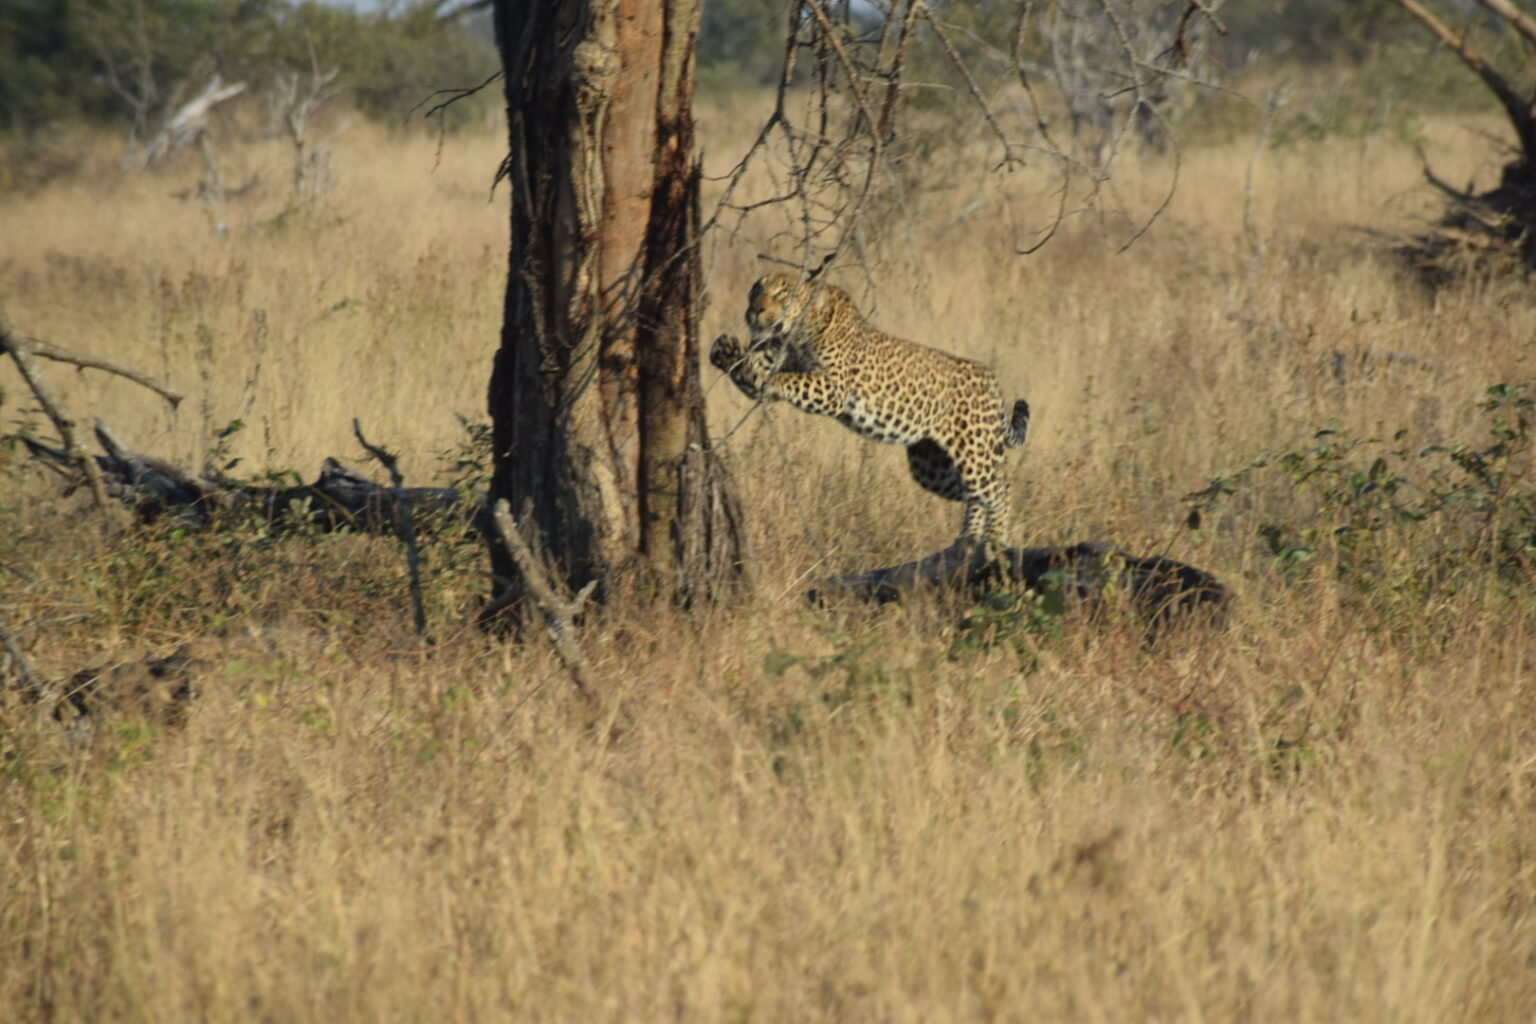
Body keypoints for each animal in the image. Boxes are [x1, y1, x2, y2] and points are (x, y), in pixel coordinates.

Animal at [709, 272, 1031, 553]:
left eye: (782, 293)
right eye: (755, 291)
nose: (755, 311)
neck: (797, 331)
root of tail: (990, 378)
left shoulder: (833, 389)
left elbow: (788, 379)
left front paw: (770, 379)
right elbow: (752, 374)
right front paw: (725, 351)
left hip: (974, 450)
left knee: (1001, 488)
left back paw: (994, 541)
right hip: (930, 466)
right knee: (974, 494)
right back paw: (967, 540)